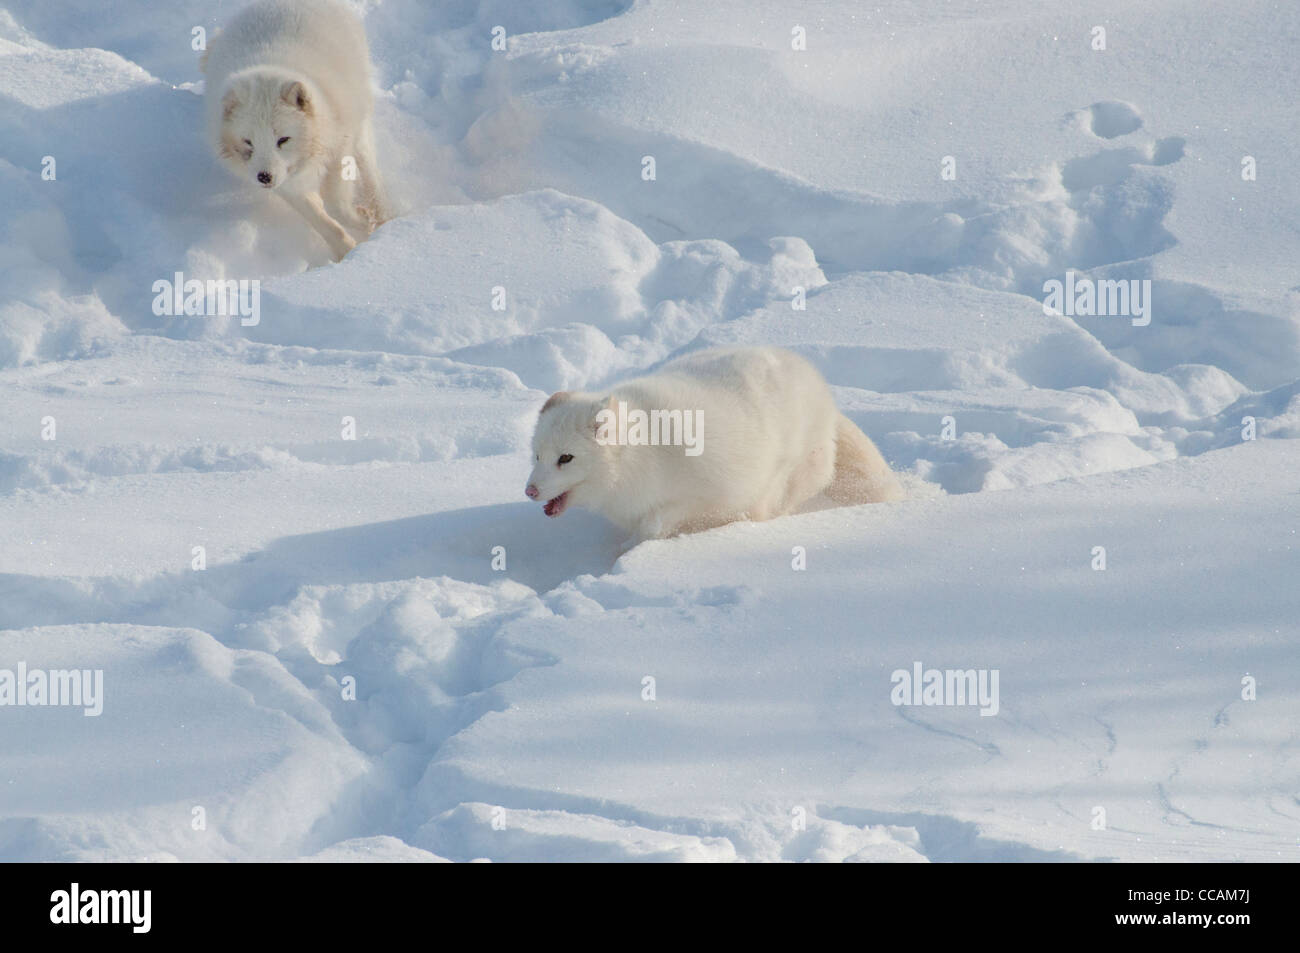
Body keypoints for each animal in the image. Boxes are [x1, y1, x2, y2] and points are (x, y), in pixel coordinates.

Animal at [202, 0, 389, 261]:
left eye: (283, 140)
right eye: (249, 142)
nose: (264, 177)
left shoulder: (340, 147)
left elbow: (336, 205)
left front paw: (364, 221)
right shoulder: (286, 184)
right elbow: (319, 219)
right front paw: (345, 253)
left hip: (359, 122)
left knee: (369, 168)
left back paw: (383, 214)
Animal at [524, 346, 905, 543]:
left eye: (566, 458)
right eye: (537, 456)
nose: (530, 491)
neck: (644, 454)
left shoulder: (706, 493)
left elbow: (658, 523)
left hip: (791, 470)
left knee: (781, 498)